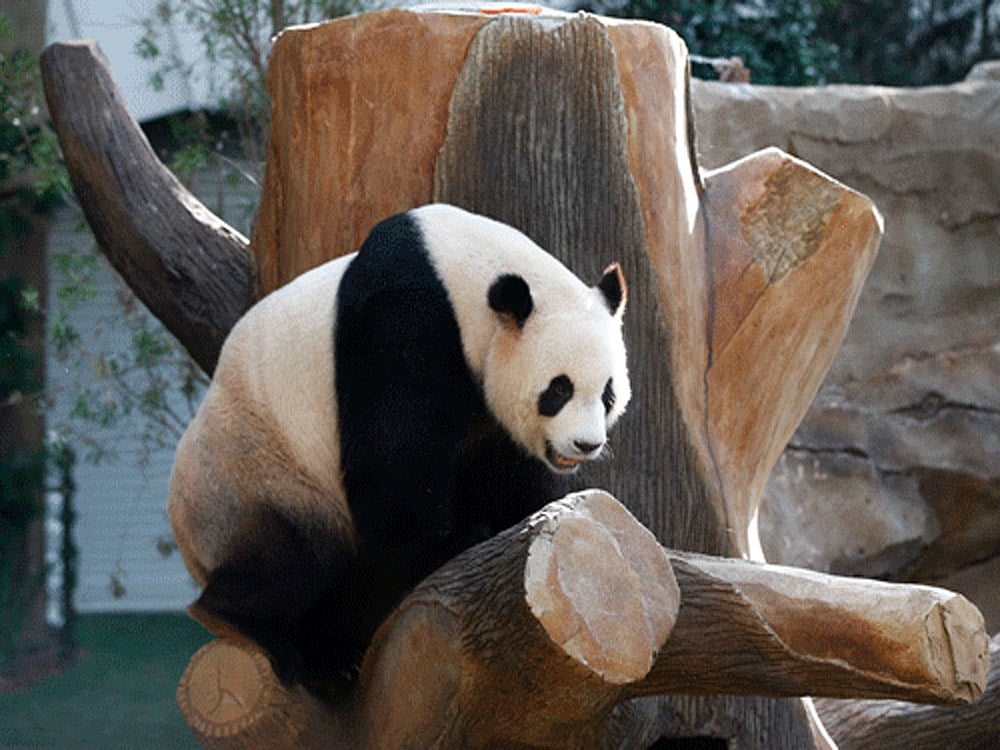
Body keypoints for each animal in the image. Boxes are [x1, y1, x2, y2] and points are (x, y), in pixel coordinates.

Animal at [168, 203, 630, 696]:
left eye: (607, 393)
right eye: (558, 389)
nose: (585, 444)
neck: (464, 274)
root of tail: (185, 534)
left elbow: (499, 466)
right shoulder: (400, 323)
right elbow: (394, 464)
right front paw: (454, 541)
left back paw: (332, 657)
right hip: (258, 474)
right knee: (292, 559)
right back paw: (245, 622)